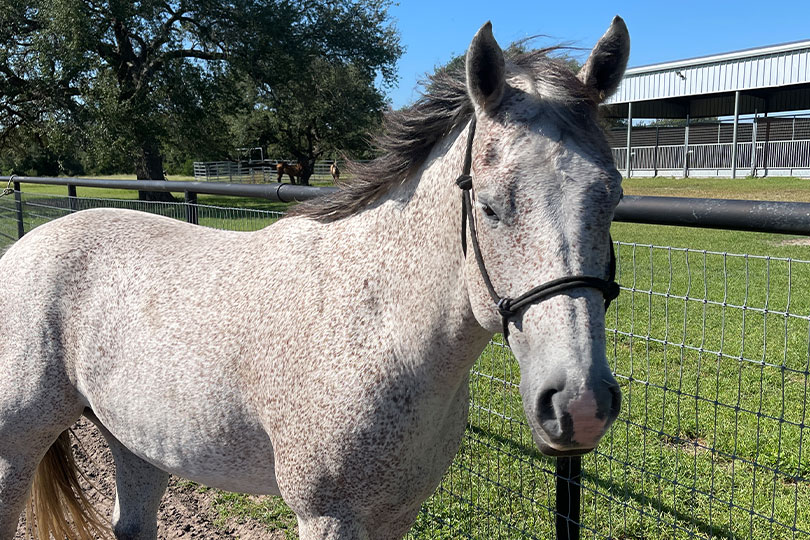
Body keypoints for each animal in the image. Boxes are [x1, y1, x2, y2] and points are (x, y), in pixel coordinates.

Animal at [0, 17, 629, 540]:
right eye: (491, 207)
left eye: (611, 198)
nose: (579, 403)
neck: (381, 326)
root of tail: (25, 249)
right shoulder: (327, 517)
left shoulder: (395, 517)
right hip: (15, 449)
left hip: (137, 444)